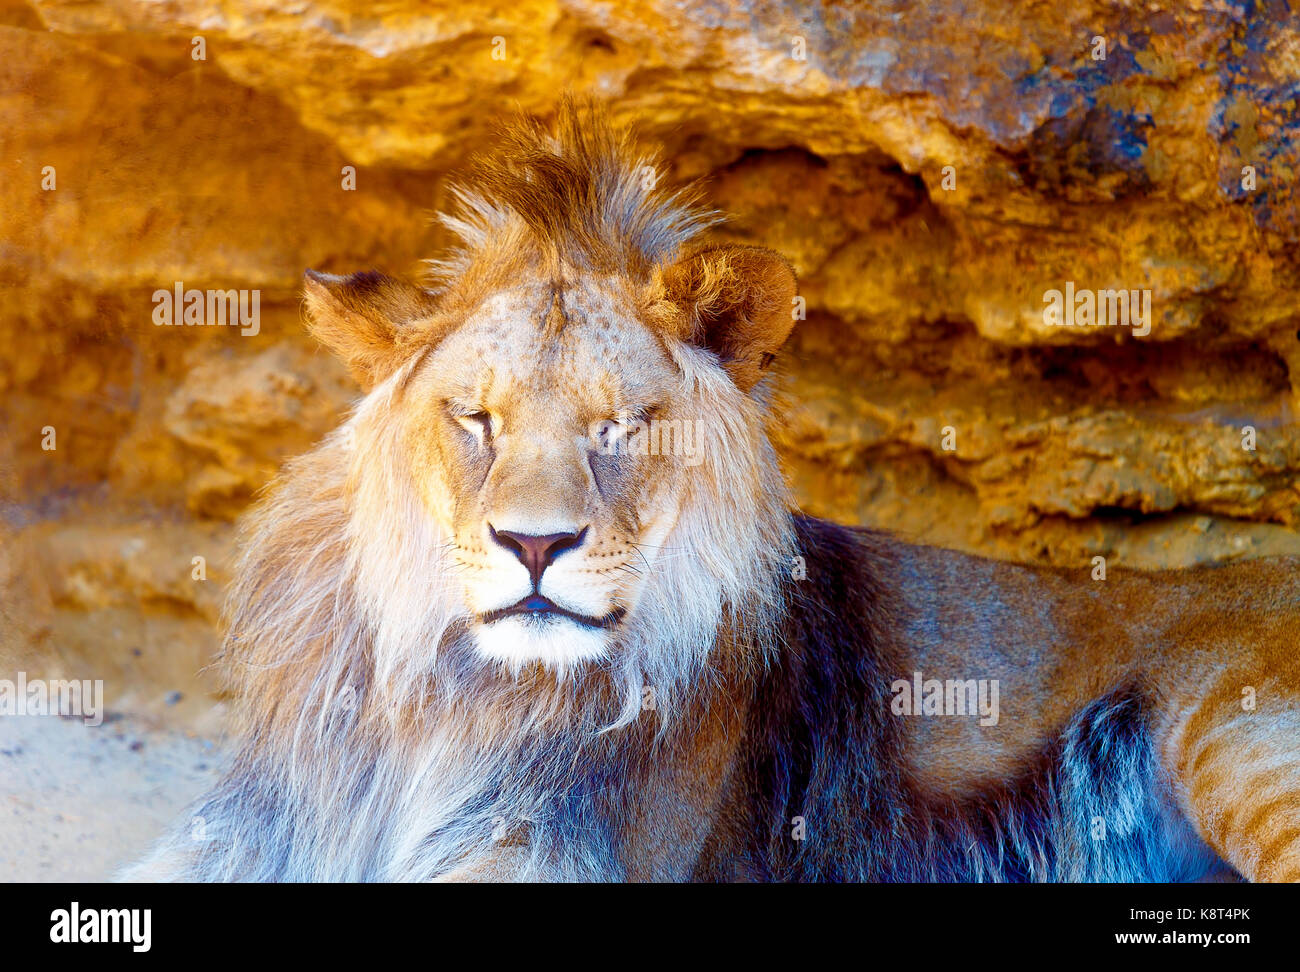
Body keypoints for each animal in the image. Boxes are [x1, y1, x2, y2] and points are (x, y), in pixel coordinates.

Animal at [126, 100, 1300, 882]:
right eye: (476, 420)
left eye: (617, 427)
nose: (534, 547)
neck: (453, 698)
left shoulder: (554, 854)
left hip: (1232, 745)